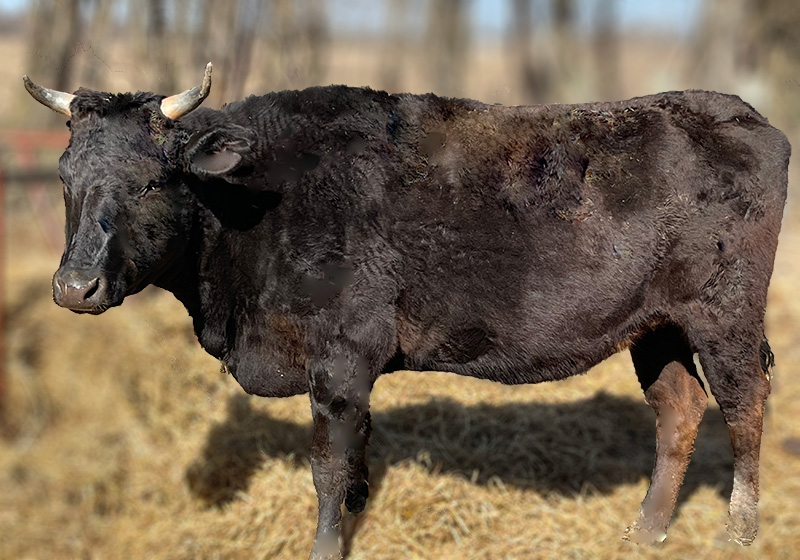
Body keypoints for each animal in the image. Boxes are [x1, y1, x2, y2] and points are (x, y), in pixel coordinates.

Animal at [24, 63, 789, 559]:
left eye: (152, 180)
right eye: (64, 178)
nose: (74, 286)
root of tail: (741, 112)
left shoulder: (339, 354)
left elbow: (328, 465)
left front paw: (325, 547)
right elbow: (355, 456)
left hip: (724, 311)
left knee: (745, 405)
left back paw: (739, 533)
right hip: (655, 325)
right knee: (679, 409)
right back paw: (647, 532)